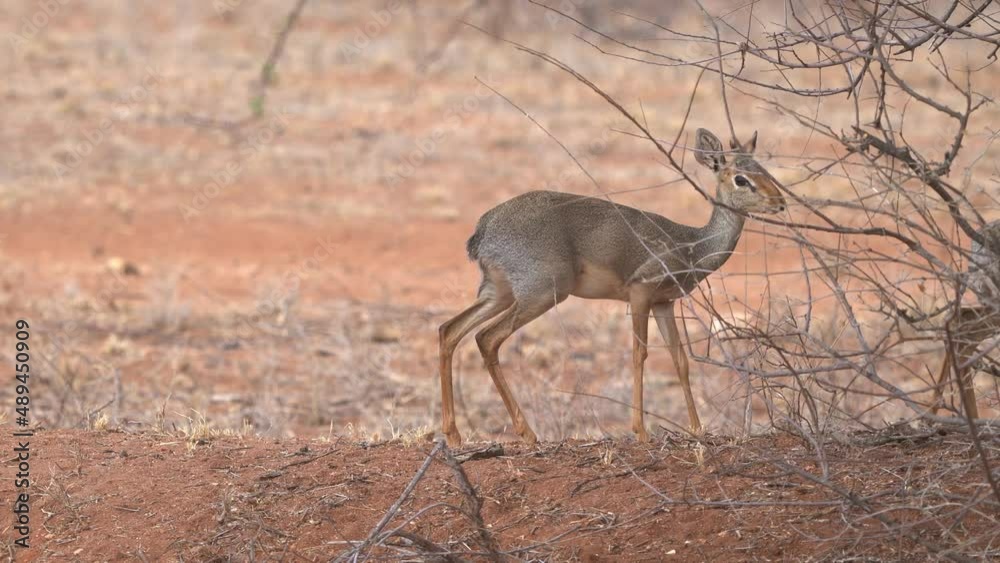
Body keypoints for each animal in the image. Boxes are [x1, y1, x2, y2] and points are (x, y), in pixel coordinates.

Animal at [438, 128, 787, 446]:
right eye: (741, 178)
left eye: (764, 169)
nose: (780, 203)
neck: (691, 245)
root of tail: (483, 229)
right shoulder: (640, 294)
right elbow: (639, 354)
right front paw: (641, 431)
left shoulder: (665, 303)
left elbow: (680, 359)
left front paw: (698, 428)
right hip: (541, 294)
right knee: (486, 338)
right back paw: (526, 434)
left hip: (498, 293)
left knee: (450, 330)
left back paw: (455, 435)